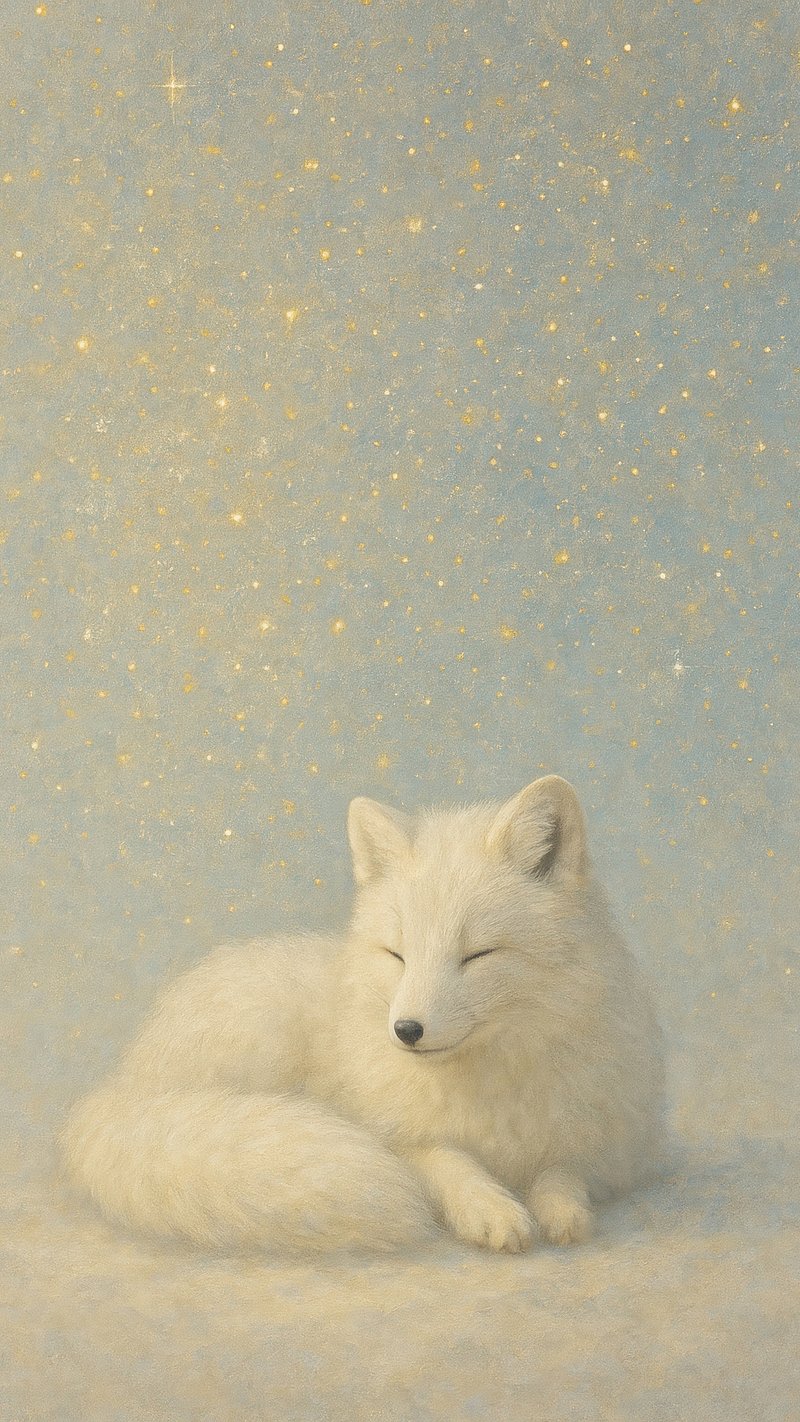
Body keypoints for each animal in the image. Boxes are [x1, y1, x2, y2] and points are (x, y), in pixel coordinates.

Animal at [61, 775, 666, 1255]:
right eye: (398, 954)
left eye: (477, 955)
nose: (406, 1030)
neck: (491, 1082)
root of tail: (119, 1091)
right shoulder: (391, 1134)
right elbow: (442, 1159)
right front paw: (490, 1209)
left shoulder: (606, 1143)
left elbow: (564, 1169)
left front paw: (563, 1211)